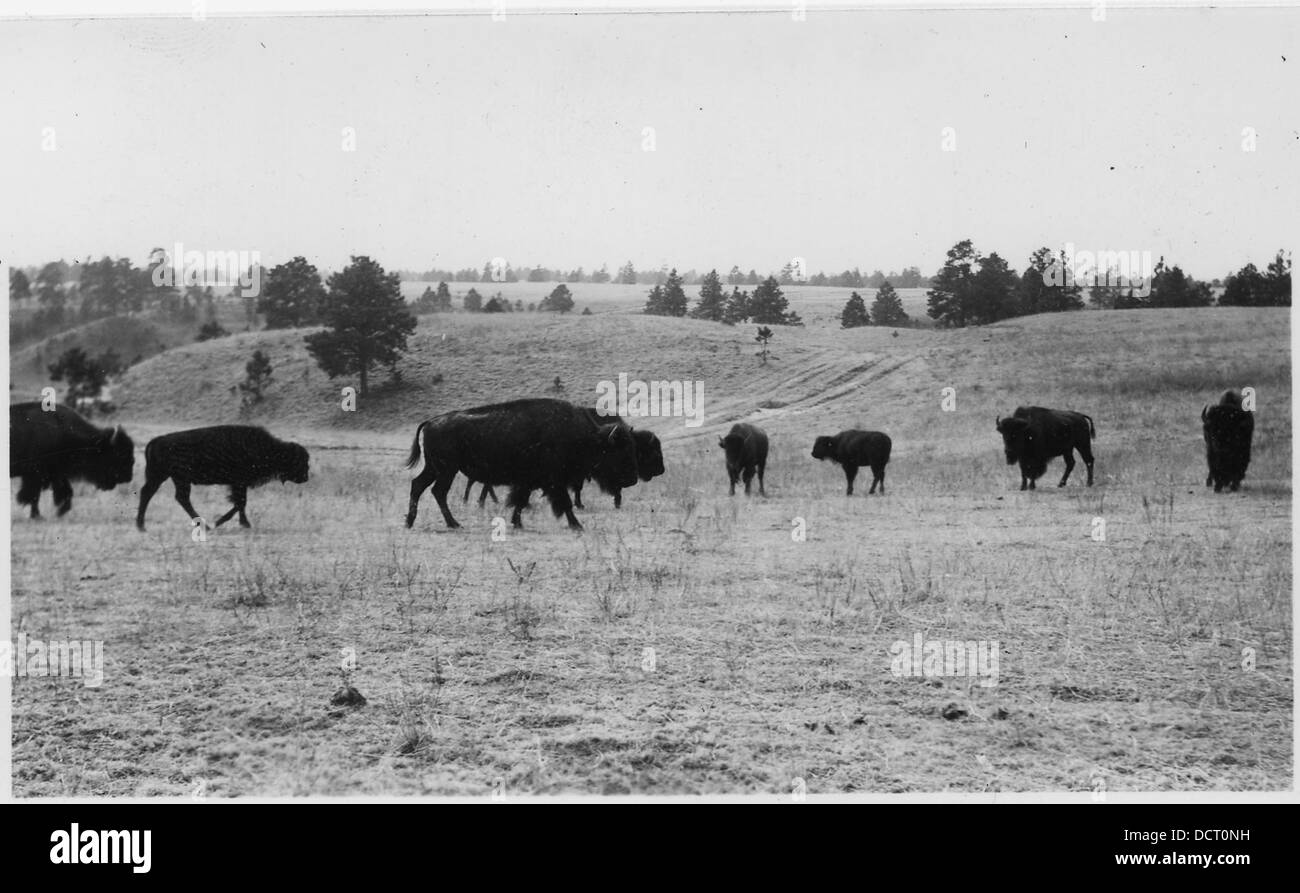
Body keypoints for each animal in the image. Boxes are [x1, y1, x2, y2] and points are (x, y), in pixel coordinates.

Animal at [136, 426, 310, 531]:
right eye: (299, 461)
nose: (306, 477)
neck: (272, 450)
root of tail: (156, 440)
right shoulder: (239, 483)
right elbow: (240, 503)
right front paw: (231, 523)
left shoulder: (239, 484)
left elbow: (240, 503)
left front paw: (239, 523)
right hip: (169, 477)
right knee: (162, 495)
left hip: (171, 478)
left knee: (171, 497)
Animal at [405, 398, 639, 530]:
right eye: (619, 452)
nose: (632, 480)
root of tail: (431, 422)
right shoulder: (555, 481)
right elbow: (565, 503)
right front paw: (577, 525)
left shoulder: (529, 481)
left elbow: (520, 500)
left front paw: (516, 522)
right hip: (446, 470)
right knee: (437, 491)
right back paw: (452, 523)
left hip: (436, 469)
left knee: (420, 486)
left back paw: (412, 522)